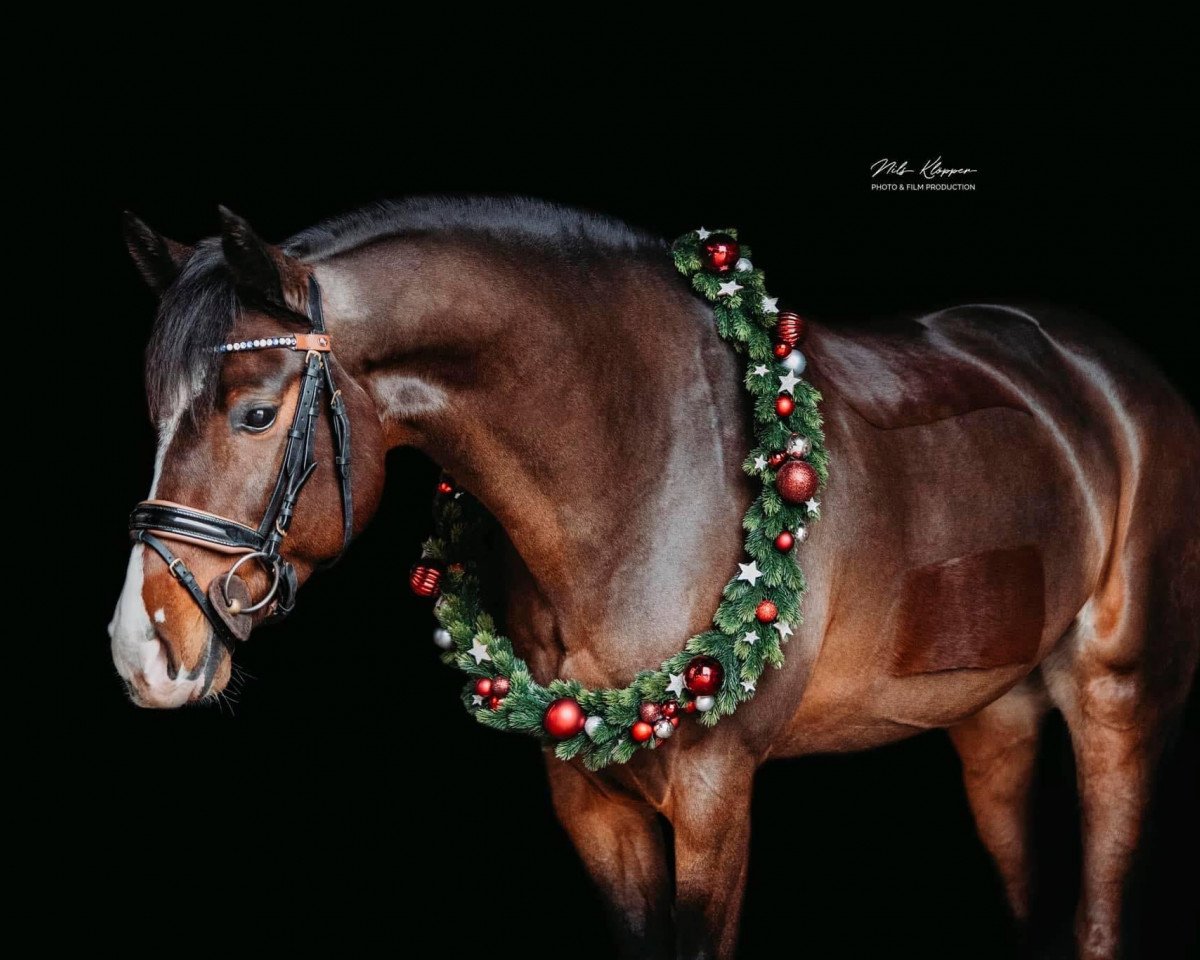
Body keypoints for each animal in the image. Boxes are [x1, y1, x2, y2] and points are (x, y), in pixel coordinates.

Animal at [109, 197, 1200, 960]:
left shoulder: (716, 796)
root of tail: (1109, 376)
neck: (647, 463)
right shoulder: (591, 802)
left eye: (254, 413)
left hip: (1119, 696)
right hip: (991, 712)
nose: (142, 647)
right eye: (155, 411)